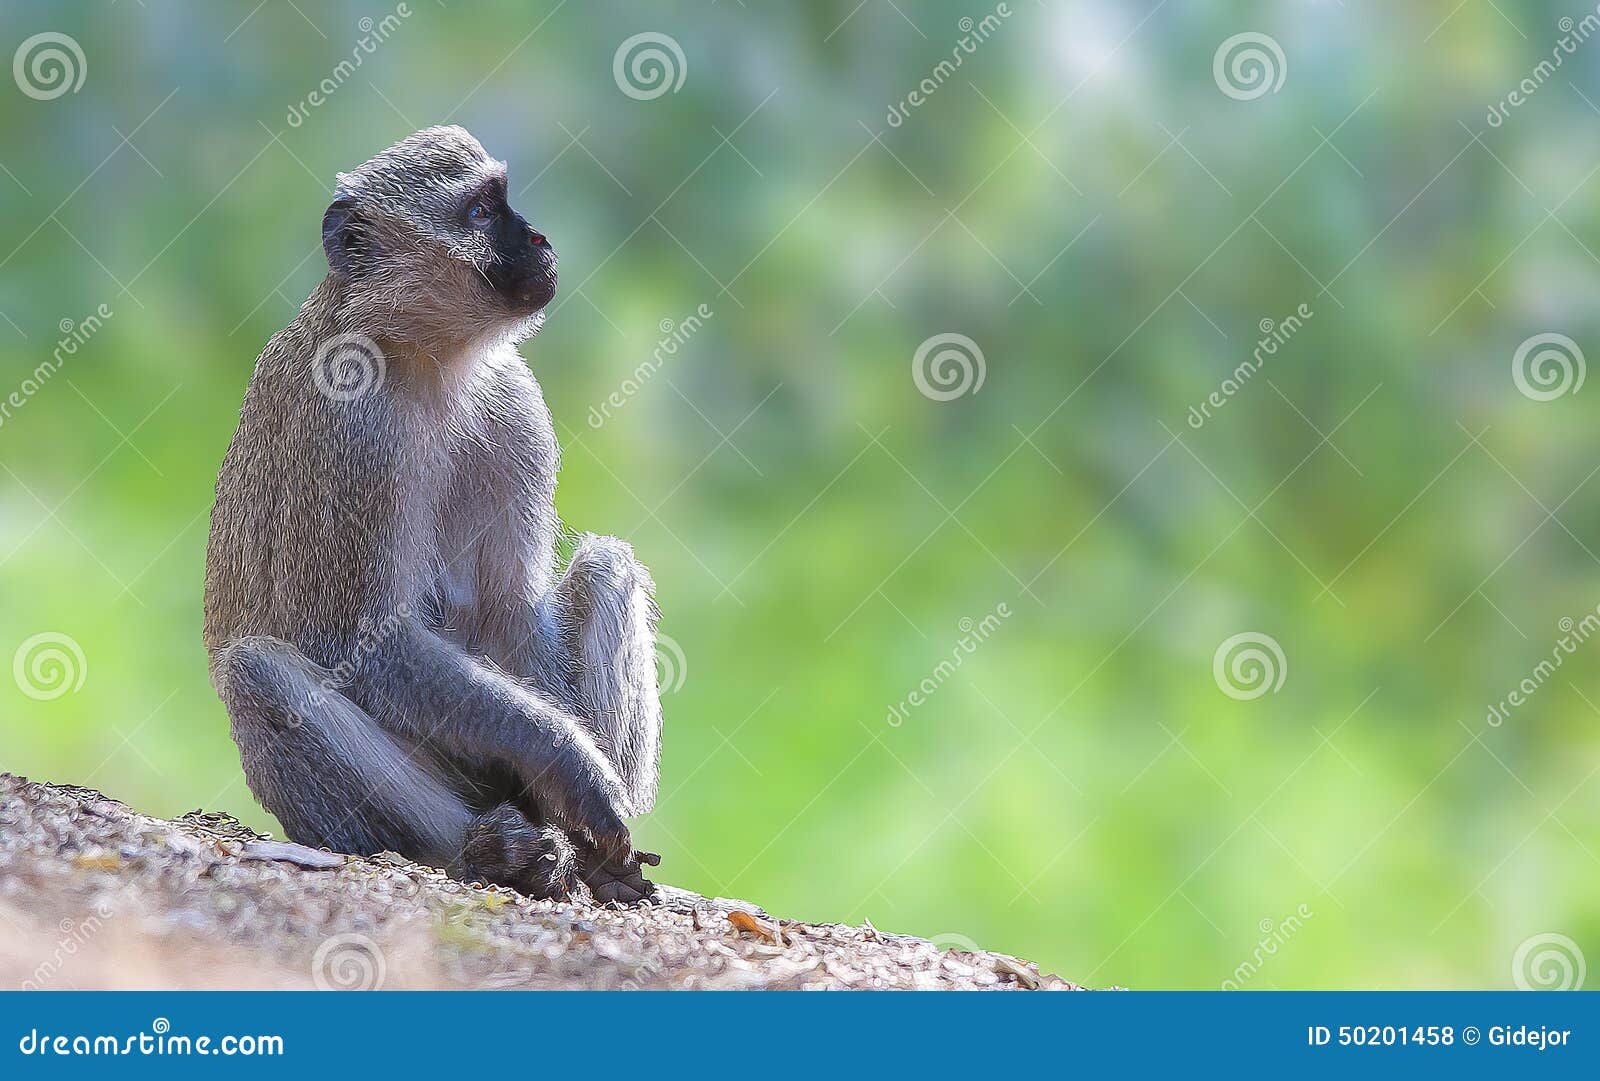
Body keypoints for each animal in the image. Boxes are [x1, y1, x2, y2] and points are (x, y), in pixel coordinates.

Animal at [203, 126, 663, 904]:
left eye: (502, 199)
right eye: (480, 211)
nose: (540, 238)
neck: (420, 355)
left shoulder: (516, 401)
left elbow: (511, 608)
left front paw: (573, 790)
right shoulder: (355, 429)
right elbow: (366, 641)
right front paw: (568, 762)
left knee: (607, 565)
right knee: (257, 668)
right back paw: (491, 852)